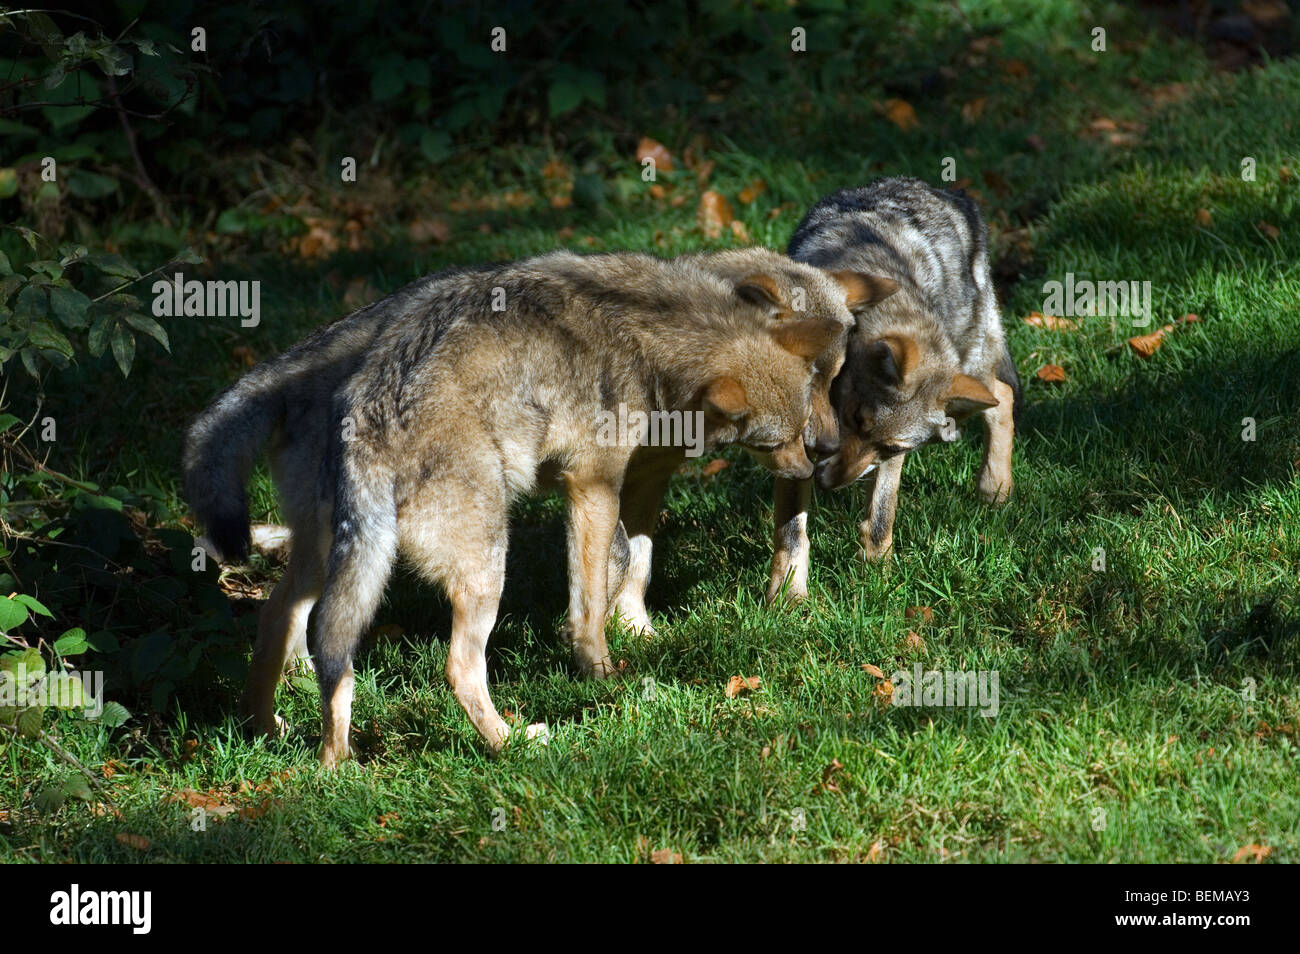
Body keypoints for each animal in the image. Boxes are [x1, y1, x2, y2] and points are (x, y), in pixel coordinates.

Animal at [184, 248, 871, 763]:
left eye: (829, 382)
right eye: (777, 439)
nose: (819, 463)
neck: (648, 334)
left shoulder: (642, 481)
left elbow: (637, 565)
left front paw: (641, 634)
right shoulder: (593, 487)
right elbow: (599, 591)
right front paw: (603, 674)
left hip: (332, 556)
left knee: (288, 623)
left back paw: (299, 744)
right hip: (487, 567)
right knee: (457, 668)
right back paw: (512, 742)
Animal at [765, 178, 1023, 604]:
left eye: (888, 446)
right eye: (853, 418)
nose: (826, 483)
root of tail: (952, 194)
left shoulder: (887, 458)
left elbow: (881, 516)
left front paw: (877, 580)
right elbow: (792, 533)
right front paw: (788, 599)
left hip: (972, 369)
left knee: (1003, 396)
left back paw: (995, 488)